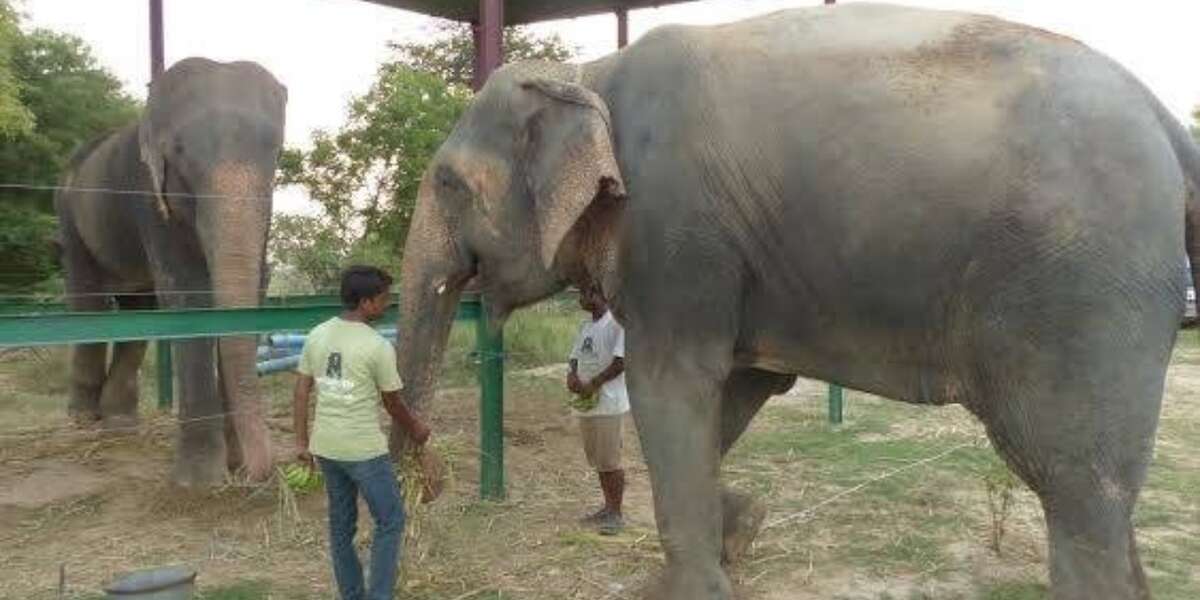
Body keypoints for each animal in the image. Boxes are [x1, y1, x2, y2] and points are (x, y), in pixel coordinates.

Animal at [54, 57, 286, 486]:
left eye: (278, 153)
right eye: (178, 152)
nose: (255, 471)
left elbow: (253, 287)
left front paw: (232, 466)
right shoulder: (146, 193)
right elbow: (188, 292)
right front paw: (200, 483)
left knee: (137, 309)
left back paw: (119, 424)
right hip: (69, 216)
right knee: (88, 298)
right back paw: (83, 420)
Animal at [394, 4, 1198, 600]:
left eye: (447, 184)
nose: (426, 491)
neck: (589, 72)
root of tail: (1167, 120)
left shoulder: (675, 233)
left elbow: (672, 388)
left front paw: (701, 577)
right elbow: (736, 392)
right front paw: (741, 526)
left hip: (1082, 292)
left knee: (1074, 485)